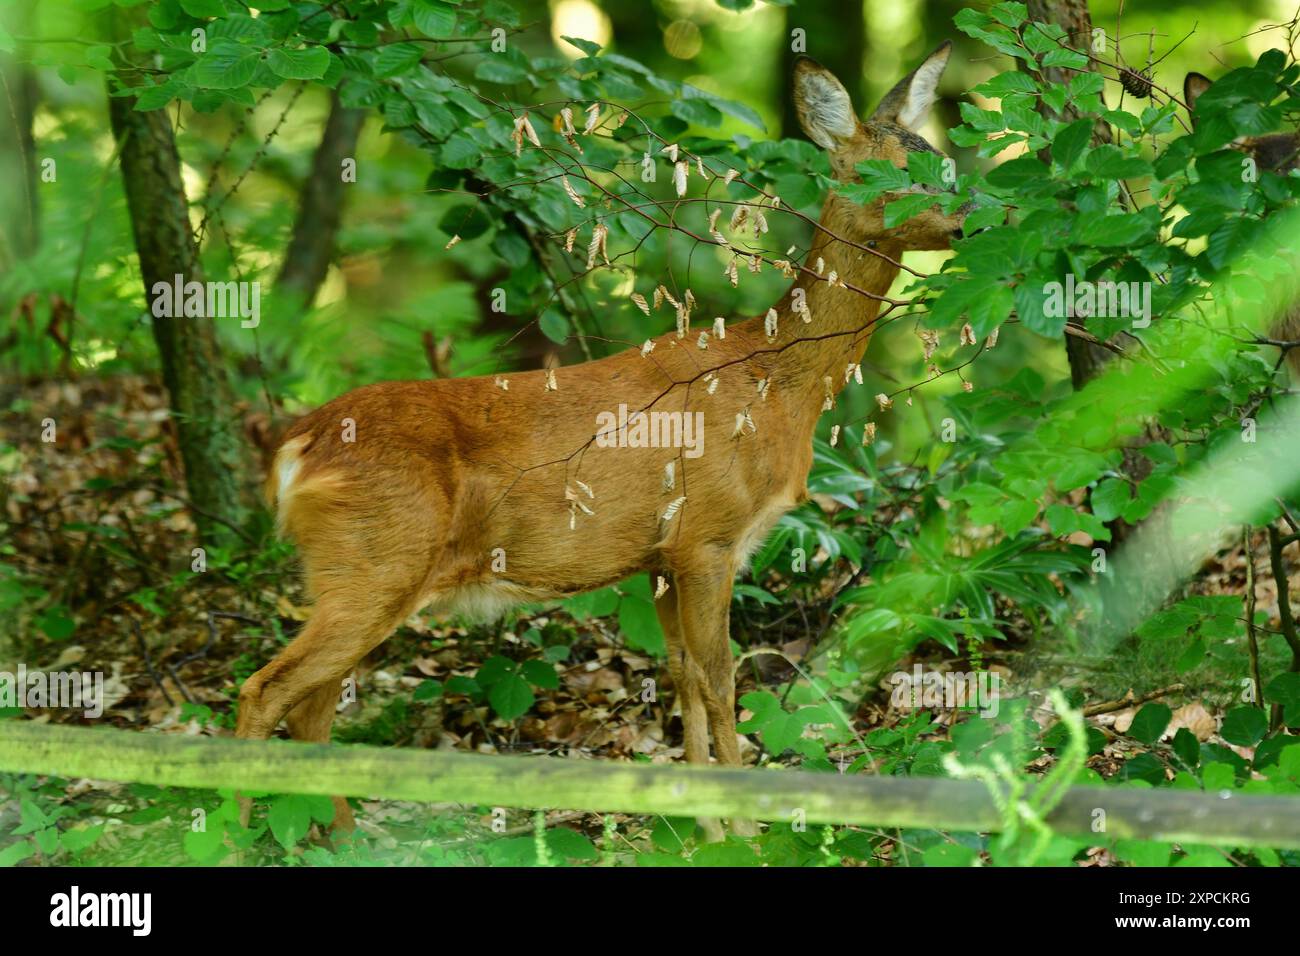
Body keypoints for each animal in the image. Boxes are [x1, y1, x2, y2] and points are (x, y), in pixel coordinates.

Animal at [235, 45, 966, 840]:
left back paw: (341, 838)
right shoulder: (708, 536)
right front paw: (746, 834)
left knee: (311, 706)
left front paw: (702, 830)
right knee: (264, 691)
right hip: (375, 561)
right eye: (882, 171)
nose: (969, 218)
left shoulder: (661, 557)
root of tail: (295, 445)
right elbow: (722, 678)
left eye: (944, 161)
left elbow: (682, 676)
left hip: (357, 572)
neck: (775, 384)